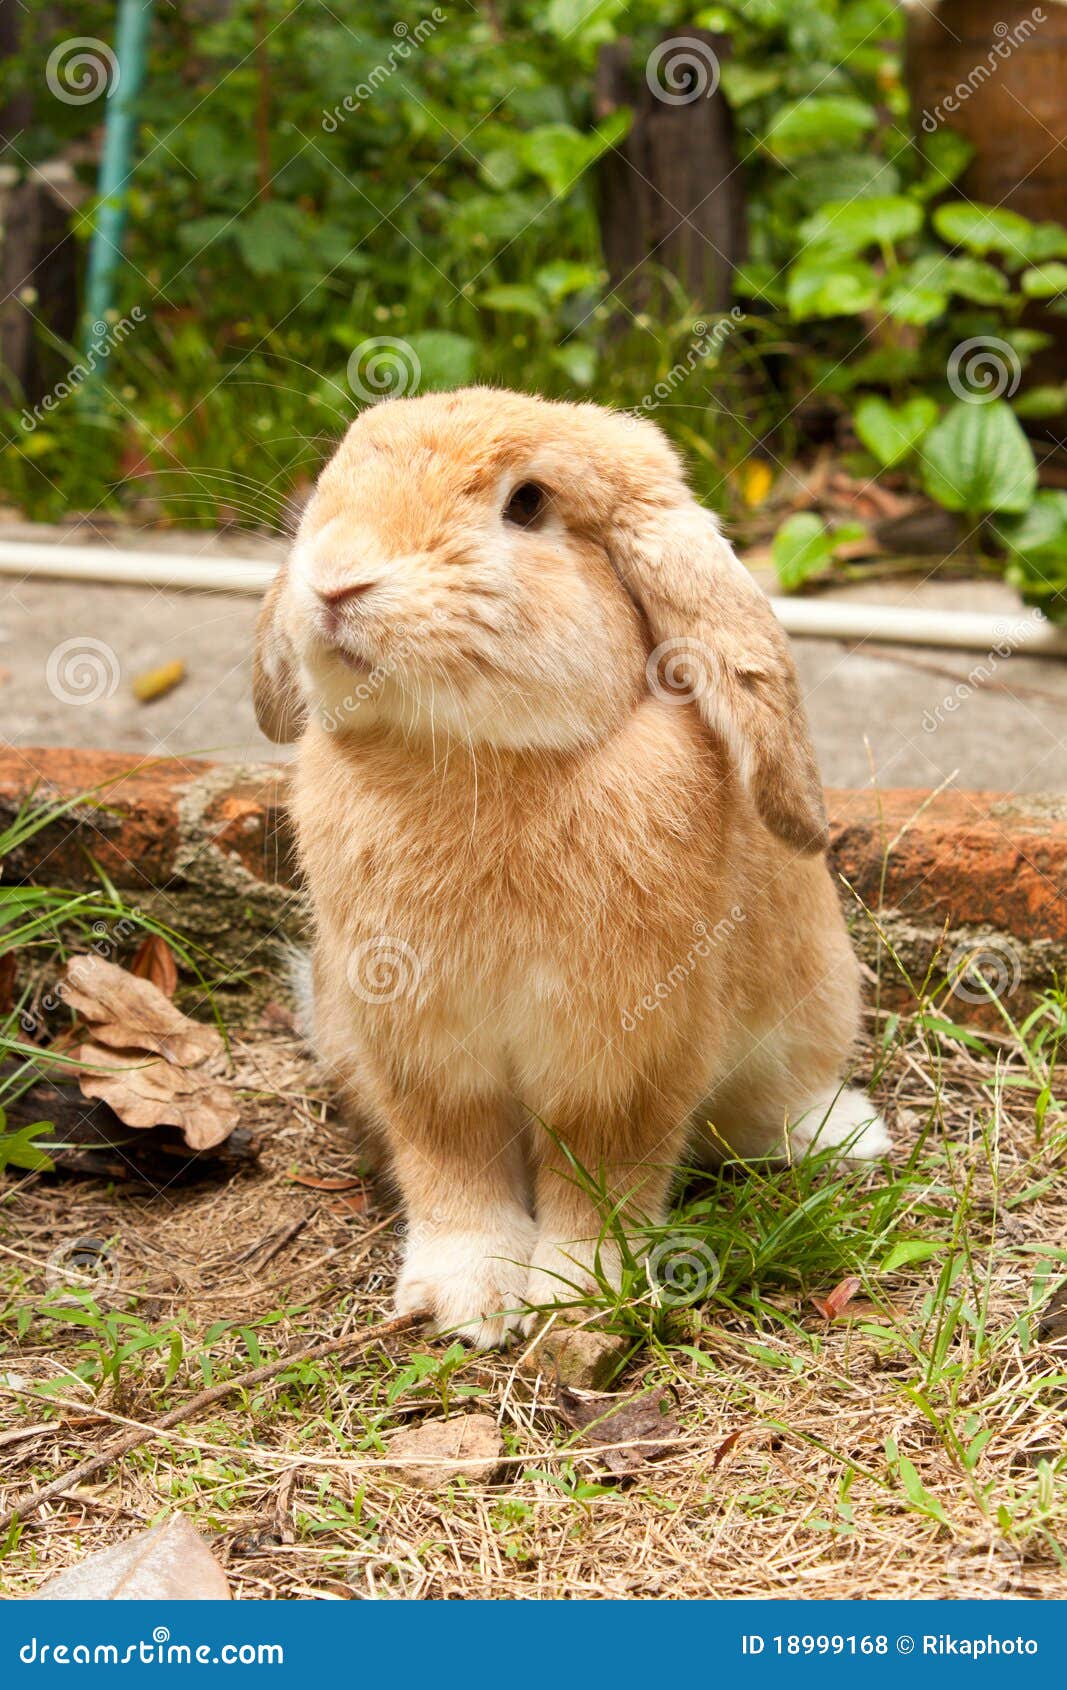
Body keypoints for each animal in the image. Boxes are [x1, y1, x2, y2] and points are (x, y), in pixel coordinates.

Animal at [253, 386, 889, 1347]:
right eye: (337, 472)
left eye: (527, 504)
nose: (332, 580)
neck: (486, 759)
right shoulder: (419, 1051)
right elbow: (452, 1164)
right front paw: (466, 1301)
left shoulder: (628, 1057)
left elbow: (604, 1175)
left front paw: (576, 1293)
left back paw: (844, 1133)